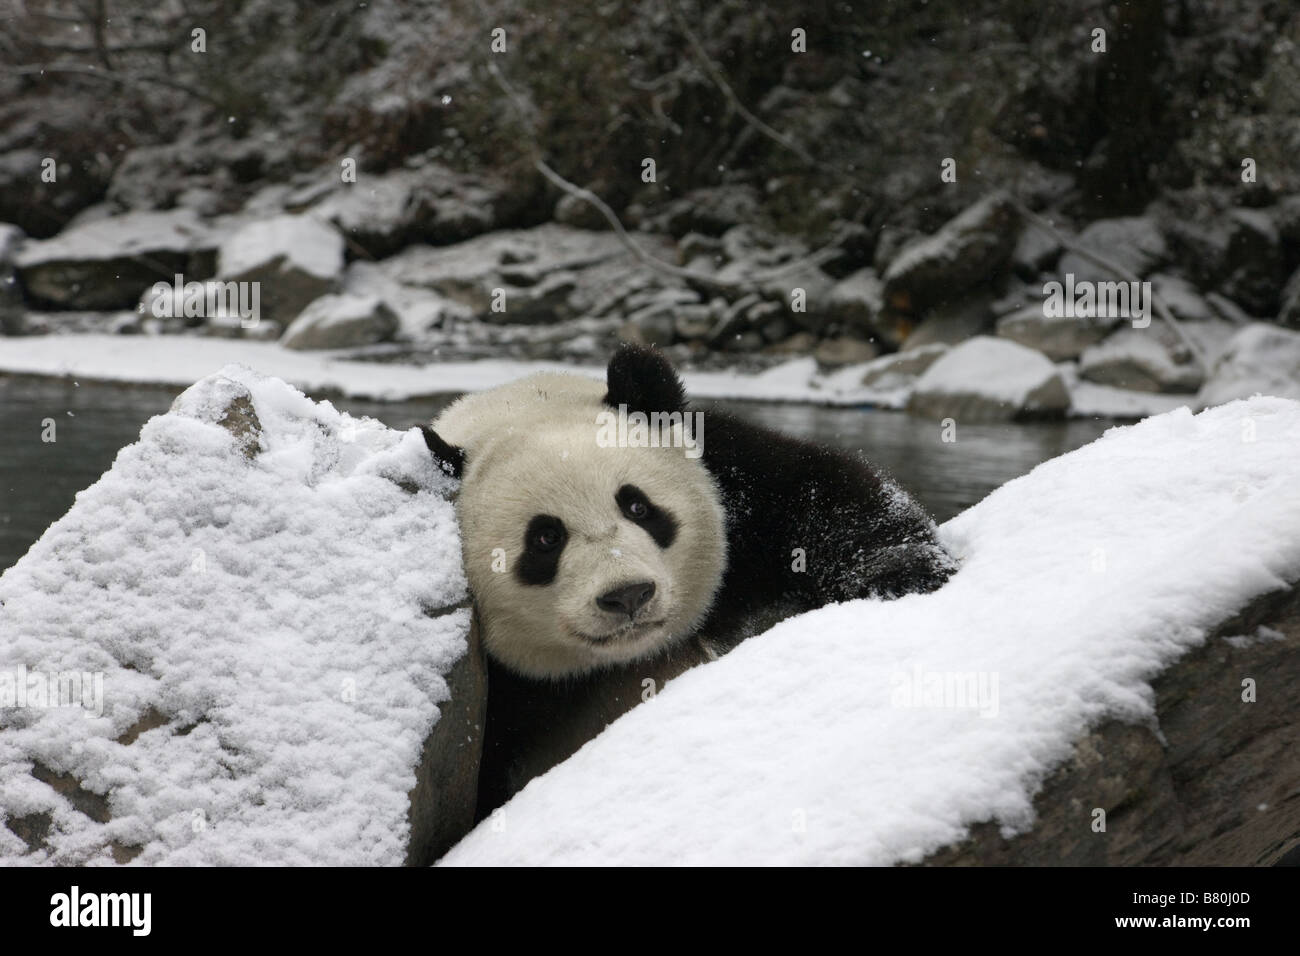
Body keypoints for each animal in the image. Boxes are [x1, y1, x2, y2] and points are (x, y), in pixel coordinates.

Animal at [421, 344, 955, 813]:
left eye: (638, 506)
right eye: (545, 539)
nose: (627, 595)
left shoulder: (735, 482)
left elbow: (825, 498)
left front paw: (903, 577)